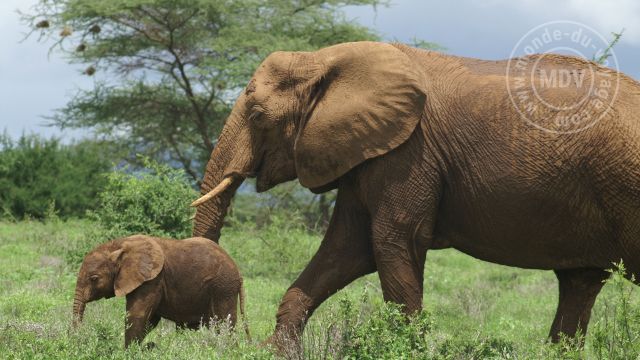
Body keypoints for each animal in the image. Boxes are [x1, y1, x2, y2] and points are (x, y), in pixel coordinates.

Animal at [71, 235, 249, 348]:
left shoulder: (152, 279)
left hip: (223, 288)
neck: (119, 244)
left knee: (224, 324)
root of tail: (239, 272)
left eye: (94, 278)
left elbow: (137, 315)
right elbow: (150, 319)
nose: (78, 339)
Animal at [190, 40, 640, 348]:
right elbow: (346, 250)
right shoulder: (370, 151)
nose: (235, 339)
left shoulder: (409, 153)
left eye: (257, 116)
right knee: (580, 282)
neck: (323, 59)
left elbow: (392, 242)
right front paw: (276, 351)